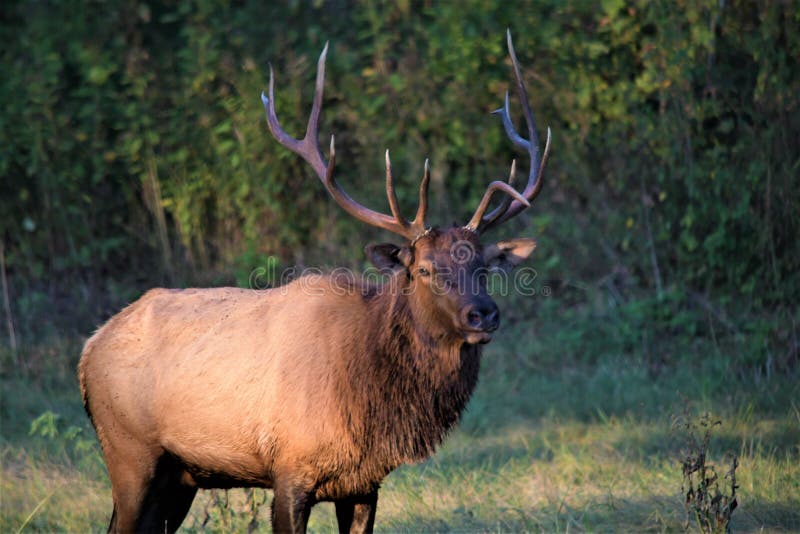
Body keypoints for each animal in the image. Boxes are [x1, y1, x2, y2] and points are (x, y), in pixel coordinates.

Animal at [78, 30, 551, 533]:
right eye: (423, 268)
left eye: (484, 265)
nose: (483, 314)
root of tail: (88, 350)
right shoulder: (289, 469)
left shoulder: (364, 483)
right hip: (128, 450)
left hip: (179, 476)